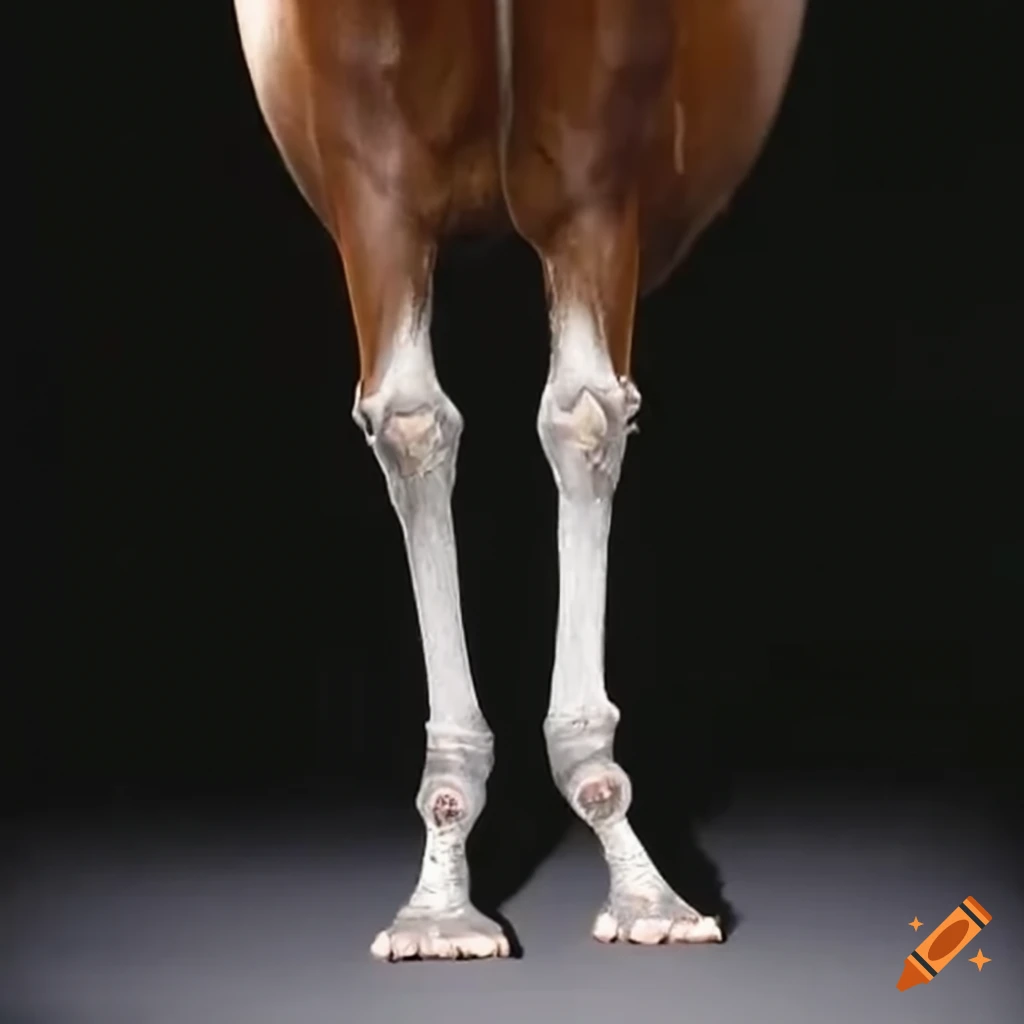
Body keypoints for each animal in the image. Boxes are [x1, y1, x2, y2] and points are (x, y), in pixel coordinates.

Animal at [232, 0, 807, 961]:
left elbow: (582, 414)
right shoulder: (366, 153)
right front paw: (439, 899)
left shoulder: (597, 163)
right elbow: (413, 420)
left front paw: (640, 881)